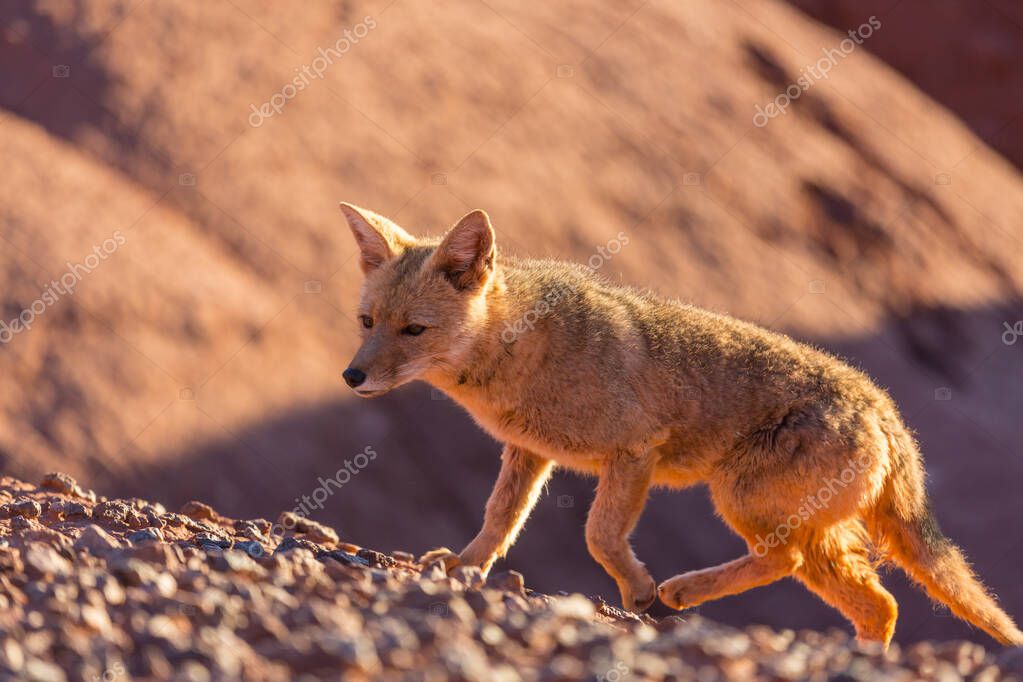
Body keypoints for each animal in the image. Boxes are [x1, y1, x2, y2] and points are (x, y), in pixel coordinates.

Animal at [338, 201, 1022, 648]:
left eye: (414, 330)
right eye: (367, 321)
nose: (351, 377)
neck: (519, 346)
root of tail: (884, 406)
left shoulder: (634, 452)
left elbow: (598, 535)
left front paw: (637, 589)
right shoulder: (528, 453)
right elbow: (499, 520)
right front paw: (465, 567)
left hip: (741, 498)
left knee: (791, 563)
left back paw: (681, 590)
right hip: (804, 529)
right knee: (877, 604)